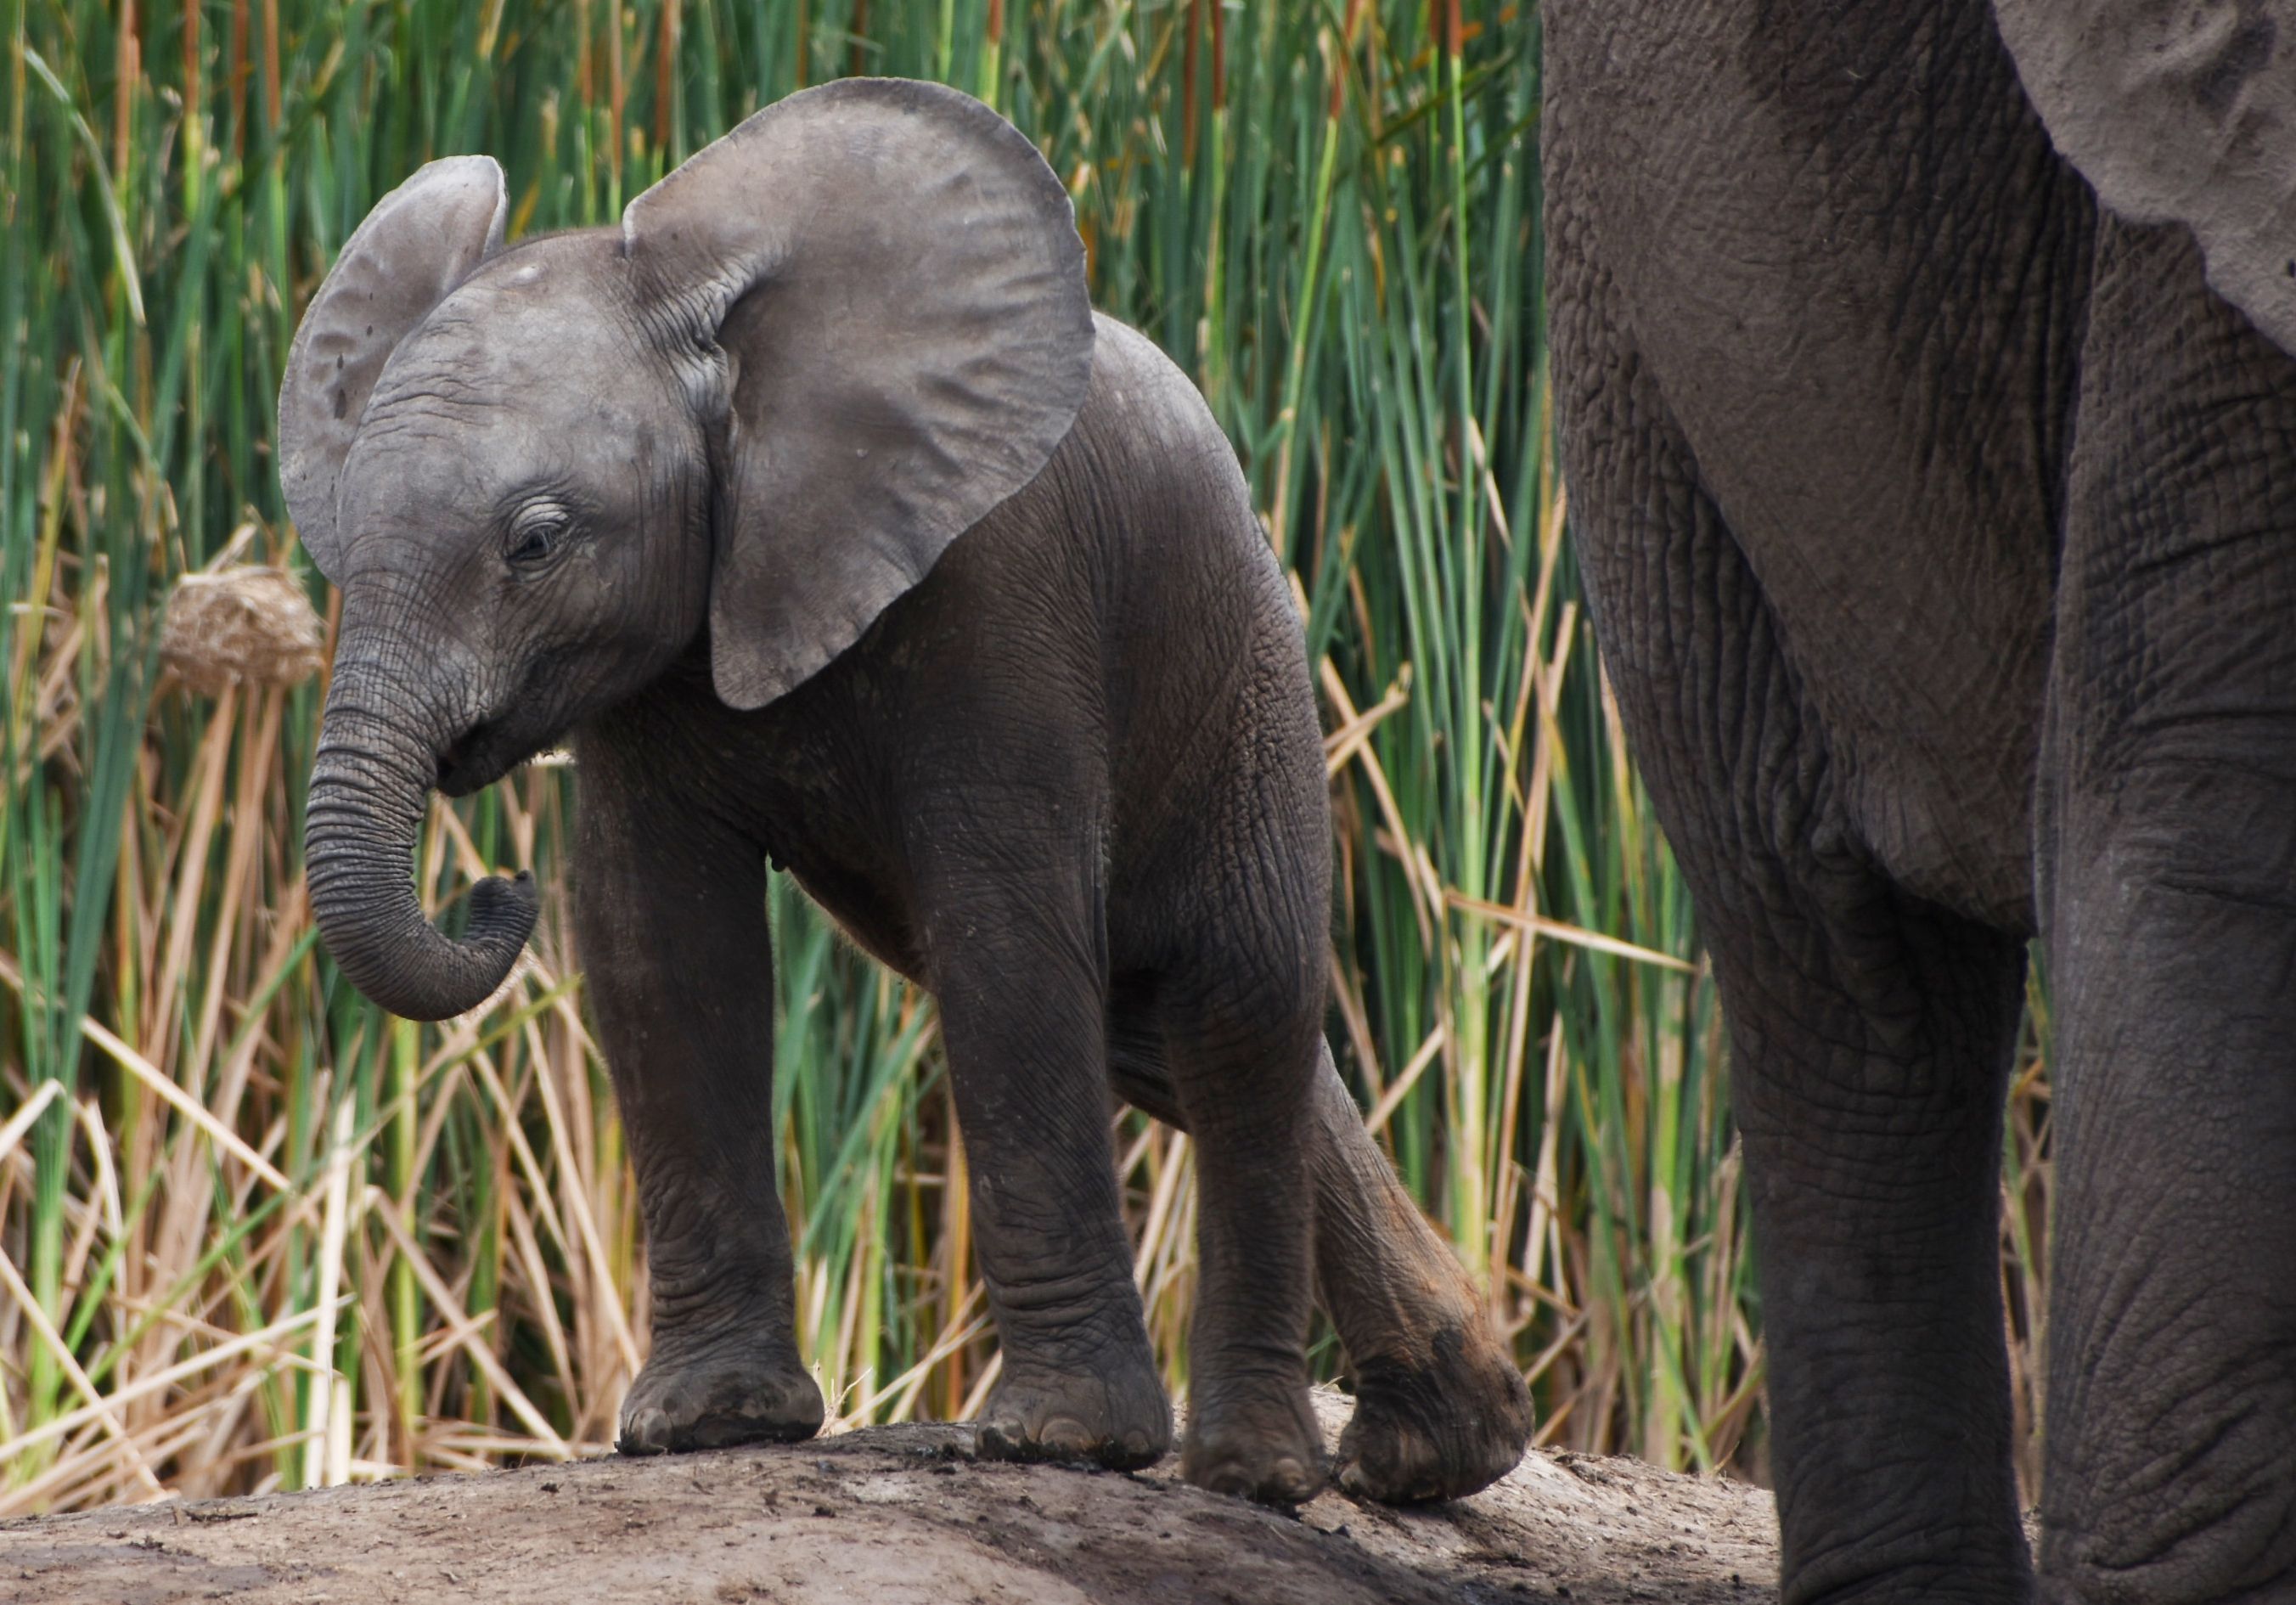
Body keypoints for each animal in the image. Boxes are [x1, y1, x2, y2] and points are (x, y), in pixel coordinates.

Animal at [277, 77, 1532, 1508]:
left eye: (535, 542)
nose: (494, 884)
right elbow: (661, 942)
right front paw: (709, 1423)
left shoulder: (1003, 580)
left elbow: (1003, 943)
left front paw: (1059, 1442)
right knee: (1160, 1034)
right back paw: (1444, 1448)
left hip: (1252, 680)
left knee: (1236, 1009)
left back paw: (1258, 1473)